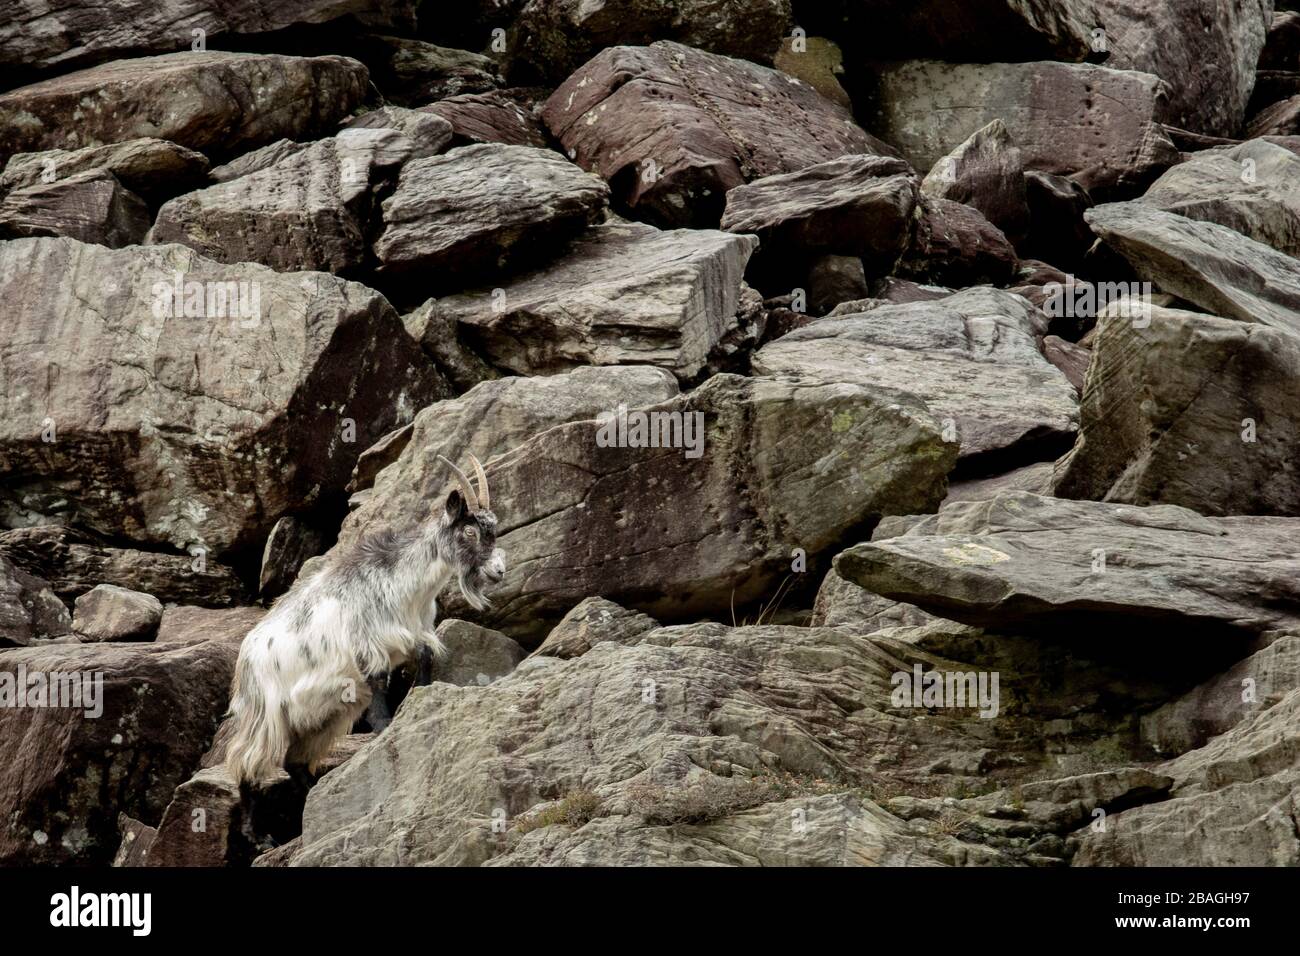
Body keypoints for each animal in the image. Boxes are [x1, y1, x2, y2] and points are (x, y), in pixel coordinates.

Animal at [224, 454, 505, 788]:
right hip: (265, 719)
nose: (498, 571)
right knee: (247, 762)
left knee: (294, 760)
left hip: (324, 716)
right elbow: (378, 682)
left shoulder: (414, 633)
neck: (404, 587)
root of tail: (243, 661)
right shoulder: (367, 644)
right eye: (470, 532)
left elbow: (424, 657)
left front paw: (420, 694)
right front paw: (385, 725)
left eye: (493, 528)